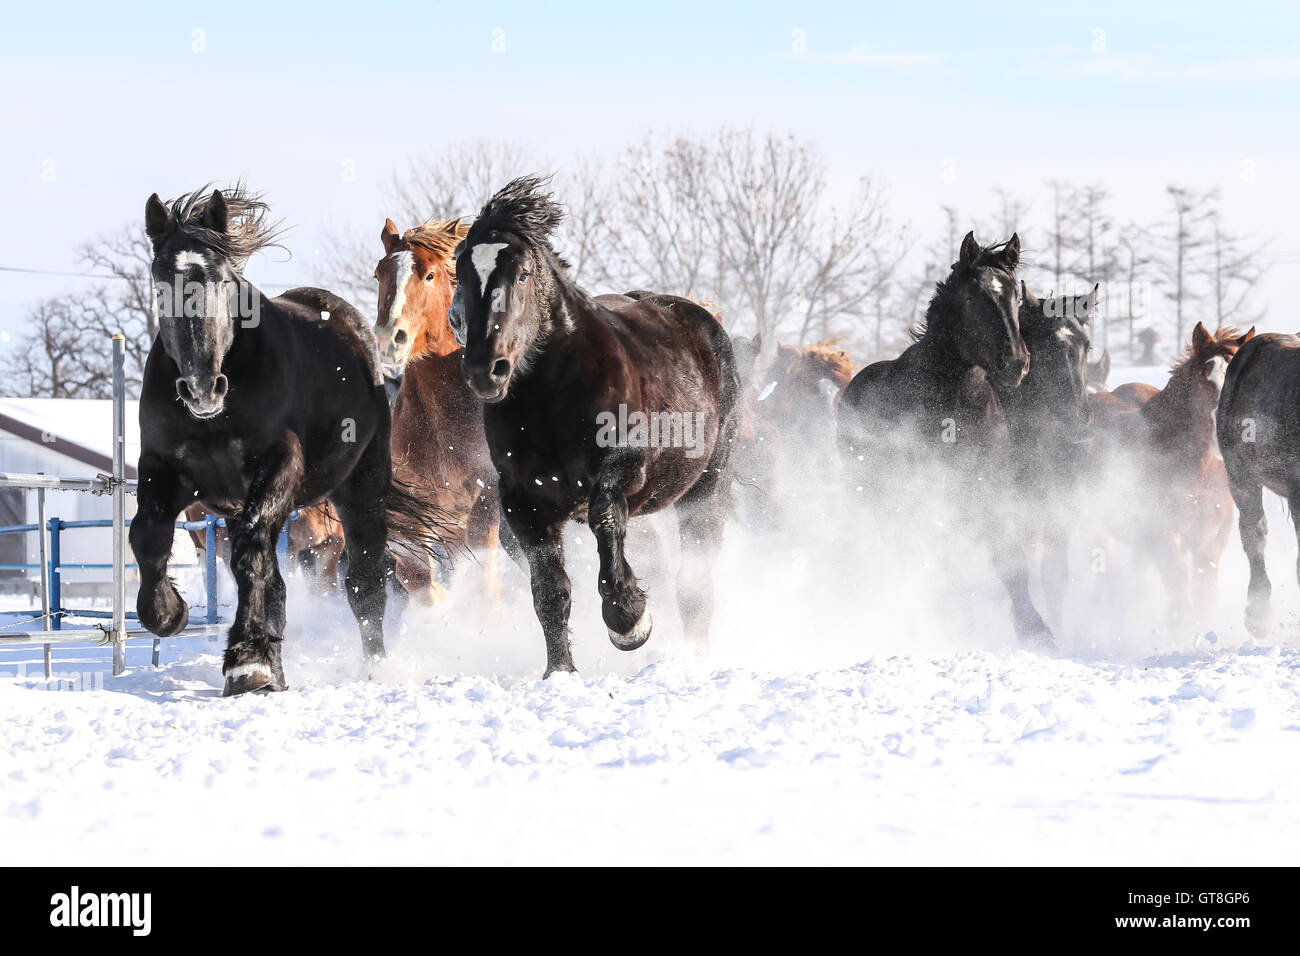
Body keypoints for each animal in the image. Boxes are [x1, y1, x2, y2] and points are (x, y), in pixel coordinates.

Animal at [374, 216, 513, 604]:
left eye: (429, 275)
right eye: (379, 274)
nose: (389, 338)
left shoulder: (486, 498)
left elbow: (484, 575)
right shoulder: (418, 513)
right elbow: (419, 579)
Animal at [450, 176, 740, 677]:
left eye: (521, 274)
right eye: (462, 274)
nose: (486, 370)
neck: (553, 398)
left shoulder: (624, 468)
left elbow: (604, 517)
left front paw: (629, 620)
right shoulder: (523, 501)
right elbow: (550, 591)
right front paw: (559, 673)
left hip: (705, 489)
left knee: (695, 581)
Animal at [838, 231, 1055, 650]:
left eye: (1015, 298)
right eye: (972, 298)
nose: (1016, 363)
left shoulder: (990, 490)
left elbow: (1008, 557)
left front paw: (1036, 629)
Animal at [1088, 322, 1254, 628]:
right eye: (1204, 374)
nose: (1227, 432)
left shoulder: (1209, 545)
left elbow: (1204, 602)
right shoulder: (1164, 538)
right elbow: (1181, 602)